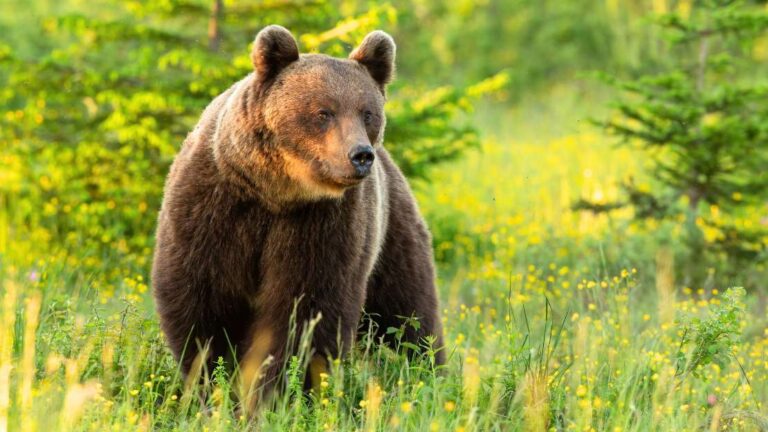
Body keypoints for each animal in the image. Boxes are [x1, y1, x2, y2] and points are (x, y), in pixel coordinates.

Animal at [151, 25, 444, 407]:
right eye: (324, 112)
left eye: (367, 112)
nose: (361, 155)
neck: (275, 192)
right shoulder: (214, 207)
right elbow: (201, 300)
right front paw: (211, 386)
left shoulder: (323, 224)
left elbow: (304, 310)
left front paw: (270, 394)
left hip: (392, 234)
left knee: (410, 314)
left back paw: (433, 375)